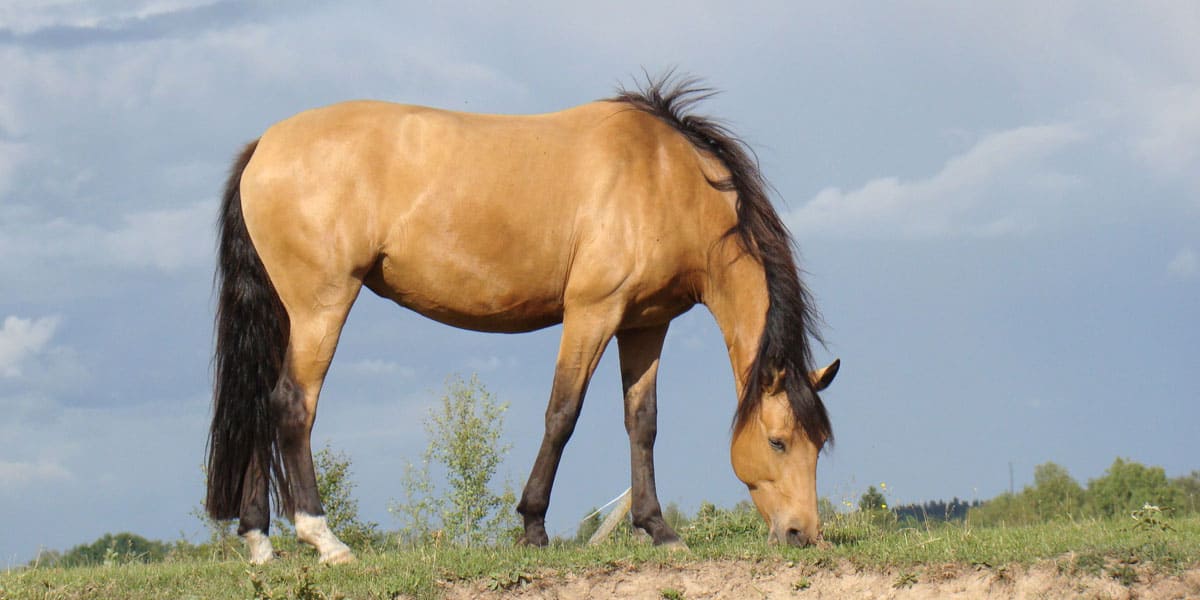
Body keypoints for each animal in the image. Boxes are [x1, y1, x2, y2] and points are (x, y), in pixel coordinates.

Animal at [205, 75, 838, 564]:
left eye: (820, 443)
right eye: (779, 441)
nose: (801, 534)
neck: (665, 178)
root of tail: (264, 145)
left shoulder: (643, 325)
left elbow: (643, 423)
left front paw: (658, 529)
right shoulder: (592, 313)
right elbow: (562, 414)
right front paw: (533, 527)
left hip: (285, 313)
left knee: (260, 403)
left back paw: (260, 542)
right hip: (321, 306)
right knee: (293, 405)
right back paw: (325, 540)